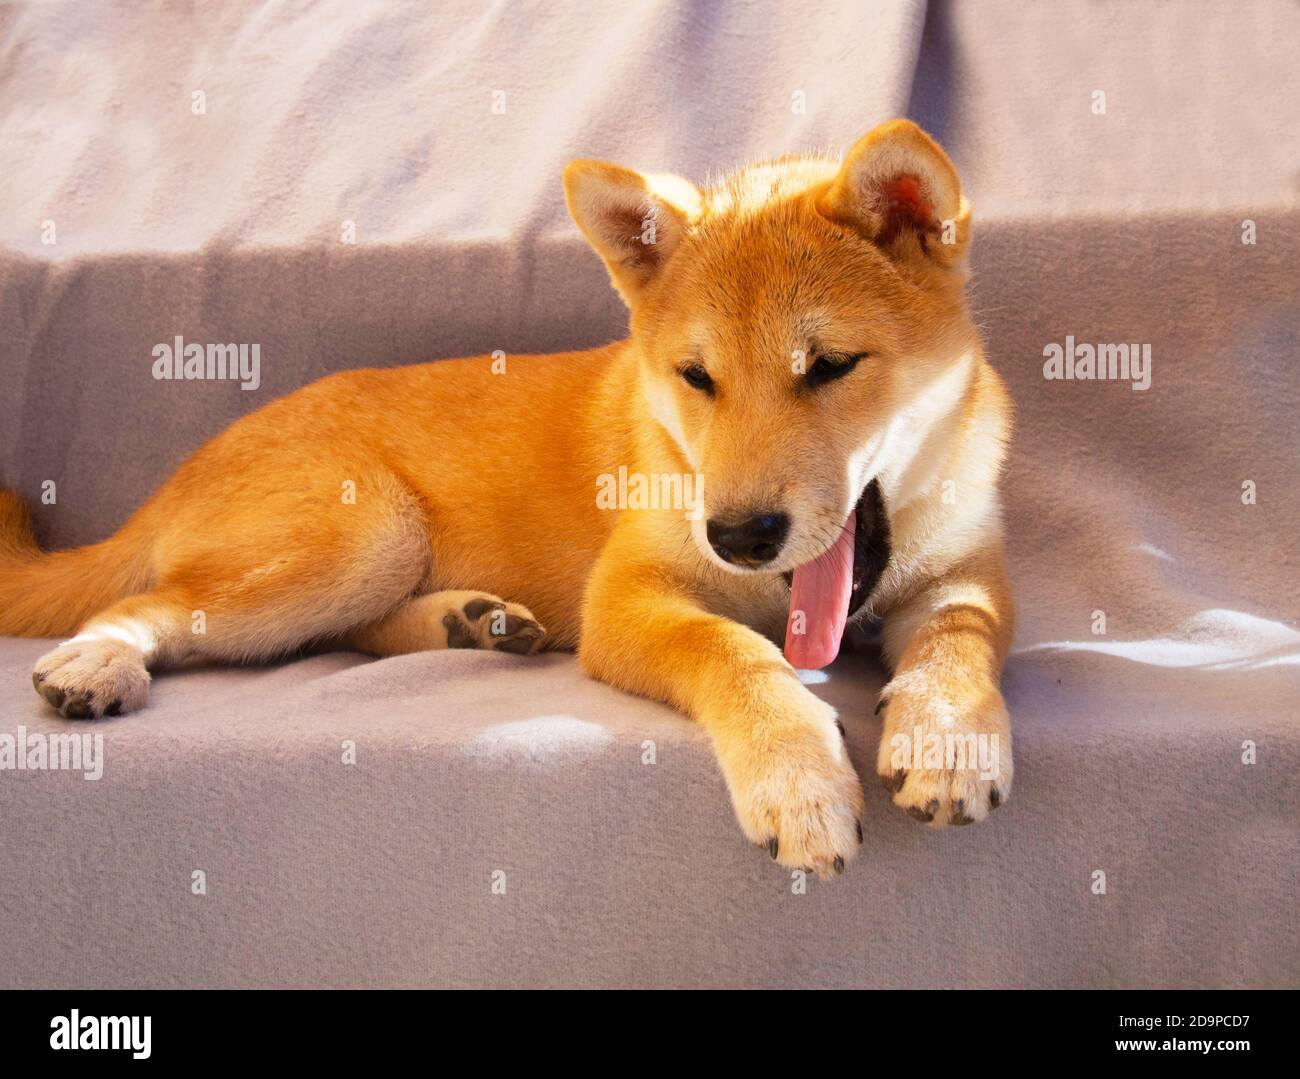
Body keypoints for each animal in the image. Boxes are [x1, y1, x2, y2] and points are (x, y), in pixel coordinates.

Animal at [0, 120, 1013, 878]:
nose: (736, 537)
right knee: (156, 603)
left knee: (343, 632)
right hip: (364, 534)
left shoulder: (966, 572)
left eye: (831, 365)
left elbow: (960, 642)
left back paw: (468, 622)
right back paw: (98, 659)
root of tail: (184, 467)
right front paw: (798, 774)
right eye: (697, 377)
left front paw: (949, 733)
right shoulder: (629, 598)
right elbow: (736, 653)